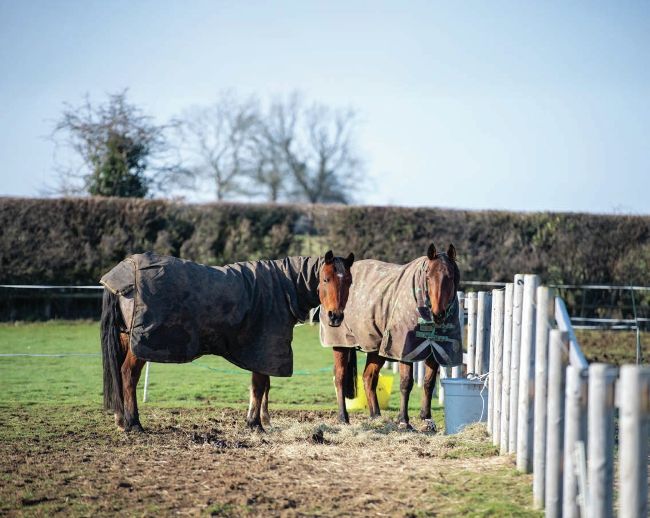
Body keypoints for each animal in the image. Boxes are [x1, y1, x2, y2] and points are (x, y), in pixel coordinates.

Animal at [100, 250, 354, 433]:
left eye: (349, 282)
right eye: (325, 279)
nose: (335, 316)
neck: (281, 286)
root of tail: (126, 273)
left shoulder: (261, 351)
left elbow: (260, 385)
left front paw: (257, 421)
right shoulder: (264, 348)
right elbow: (259, 386)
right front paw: (255, 424)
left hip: (126, 339)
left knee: (119, 374)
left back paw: (121, 420)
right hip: (139, 347)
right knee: (127, 375)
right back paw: (134, 424)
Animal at [321, 243, 461, 431]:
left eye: (450, 277)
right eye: (428, 277)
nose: (438, 313)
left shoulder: (435, 350)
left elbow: (429, 383)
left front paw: (427, 419)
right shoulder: (404, 350)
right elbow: (406, 383)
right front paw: (404, 421)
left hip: (376, 349)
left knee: (369, 378)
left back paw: (376, 417)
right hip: (341, 344)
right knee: (340, 377)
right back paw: (343, 417)